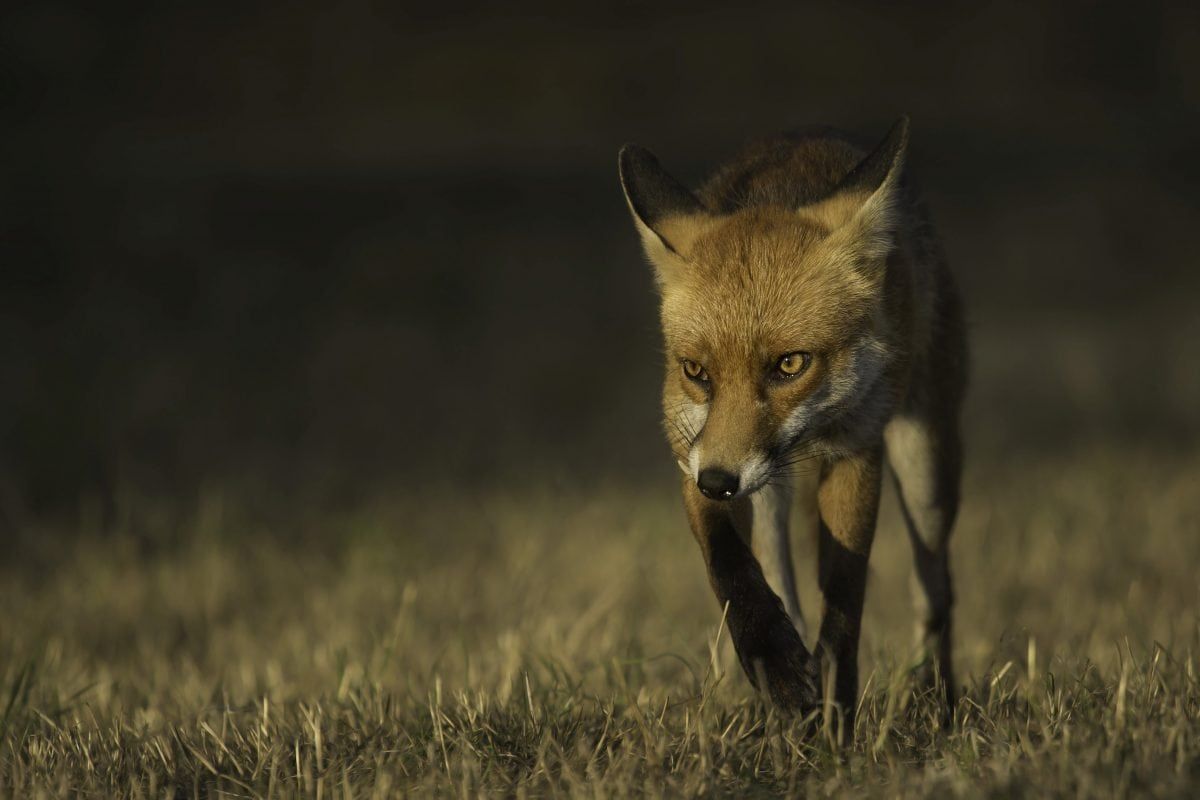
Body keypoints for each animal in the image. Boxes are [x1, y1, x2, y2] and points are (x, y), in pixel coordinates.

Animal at [617, 117, 967, 728]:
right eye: (696, 371)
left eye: (789, 364)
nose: (718, 482)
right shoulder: (692, 450)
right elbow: (729, 566)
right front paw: (776, 664)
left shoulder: (857, 449)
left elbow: (847, 591)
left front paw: (835, 709)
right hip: (768, 492)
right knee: (780, 570)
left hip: (926, 474)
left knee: (936, 587)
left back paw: (933, 696)